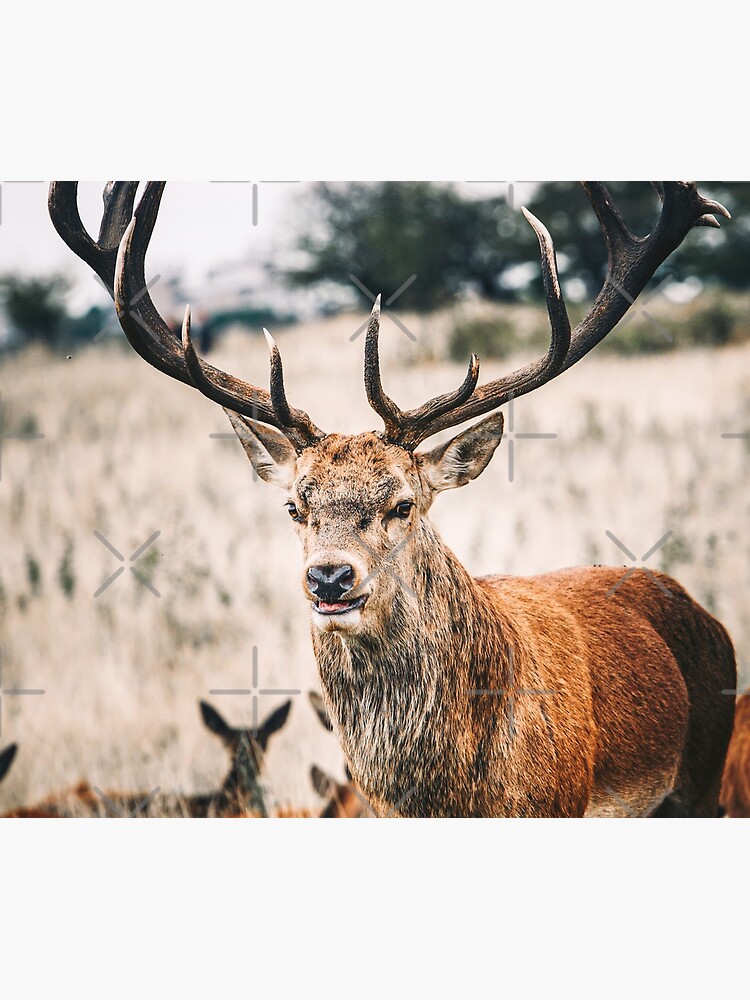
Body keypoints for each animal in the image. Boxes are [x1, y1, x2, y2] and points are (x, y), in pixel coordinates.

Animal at [49, 180, 737, 817]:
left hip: (704, 776)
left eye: (402, 504)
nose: (329, 578)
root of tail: (709, 618)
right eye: (295, 507)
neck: (450, 796)